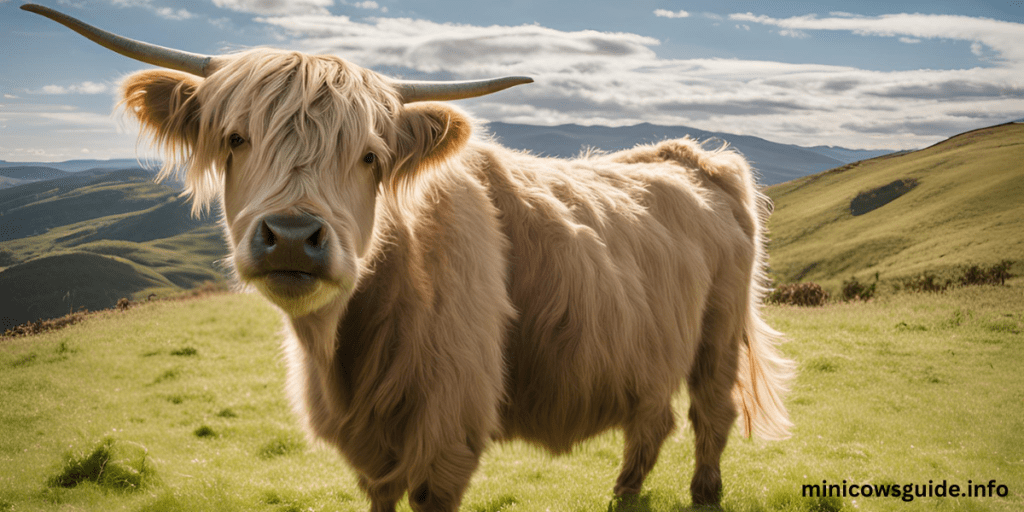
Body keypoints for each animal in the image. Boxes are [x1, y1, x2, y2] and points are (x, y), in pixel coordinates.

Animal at [24, 4, 794, 511]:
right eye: (237, 138)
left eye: (370, 156)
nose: (294, 235)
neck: (349, 350)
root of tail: (694, 156)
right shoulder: (371, 445)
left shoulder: (447, 433)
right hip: (645, 352)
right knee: (650, 423)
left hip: (718, 333)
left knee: (710, 416)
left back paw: (704, 495)